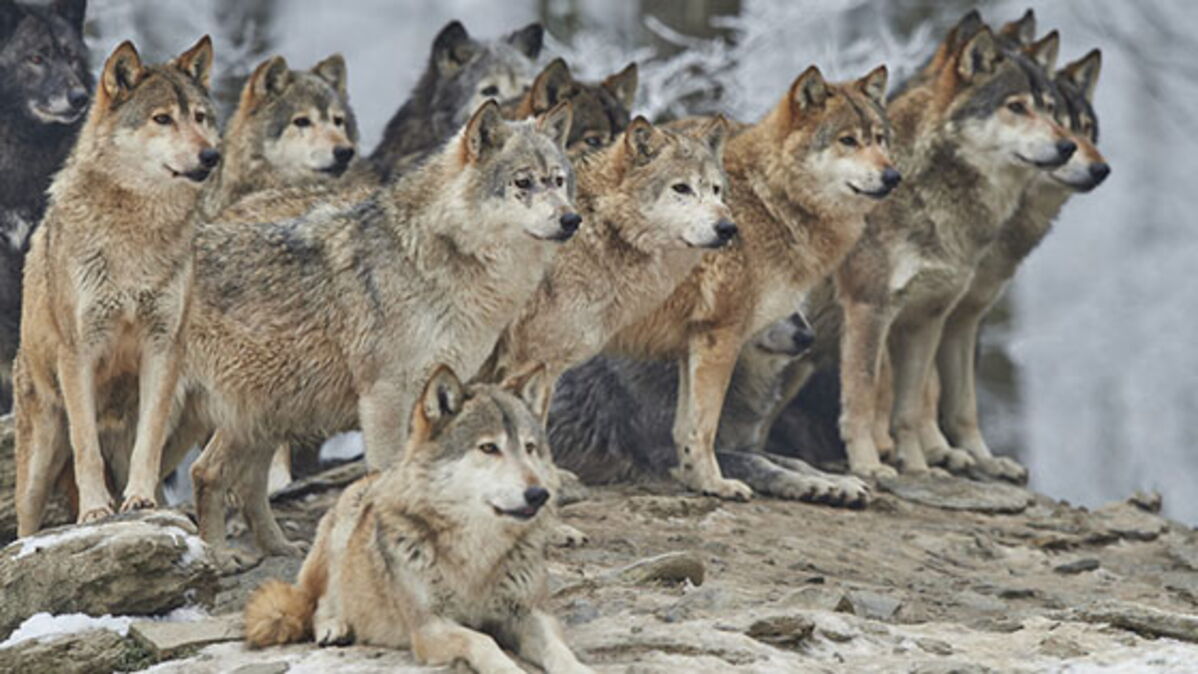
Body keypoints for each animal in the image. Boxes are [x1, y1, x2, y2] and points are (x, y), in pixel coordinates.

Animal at [13, 37, 220, 536]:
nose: (211, 156)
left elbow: (149, 441)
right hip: (39, 459)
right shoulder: (79, 352)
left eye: (200, 117)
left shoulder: (164, 348)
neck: (135, 236)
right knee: (26, 523)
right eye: (162, 118)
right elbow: (85, 446)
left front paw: (140, 500)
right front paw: (93, 512)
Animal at [172, 100, 577, 565]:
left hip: (266, 412)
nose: (572, 219)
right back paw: (219, 556)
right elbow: (387, 474)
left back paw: (276, 548)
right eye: (523, 182)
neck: (435, 256)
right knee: (204, 473)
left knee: (221, 475)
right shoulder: (385, 396)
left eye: (558, 181)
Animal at [244, 365, 593, 674]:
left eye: (530, 448)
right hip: (342, 532)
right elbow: (483, 641)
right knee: (320, 599)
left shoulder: (529, 613)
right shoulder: (429, 627)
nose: (538, 494)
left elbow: (558, 649)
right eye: (489, 448)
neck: (477, 553)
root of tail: (370, 477)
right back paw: (334, 626)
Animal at [833, 18, 1078, 481]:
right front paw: (869, 466)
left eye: (1052, 111)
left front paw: (919, 468)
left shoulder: (933, 317)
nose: (1068, 146)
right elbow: (863, 396)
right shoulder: (870, 309)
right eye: (1016, 107)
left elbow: (915, 407)